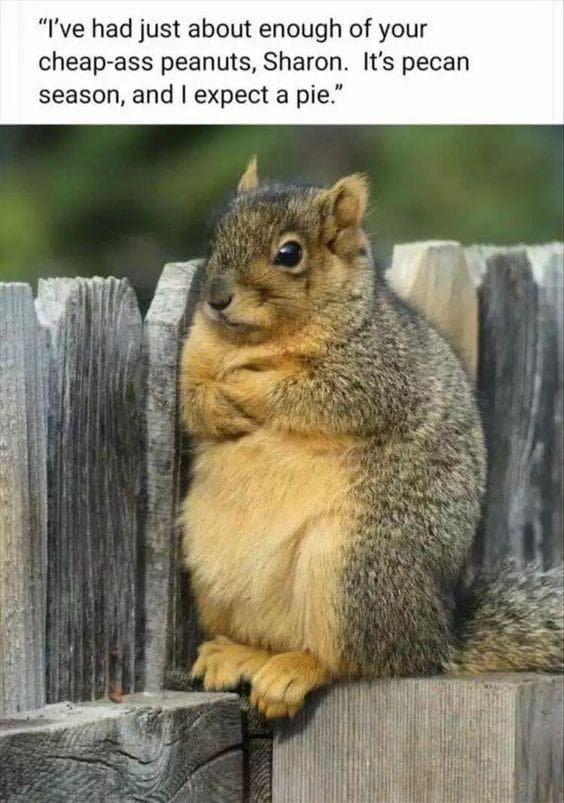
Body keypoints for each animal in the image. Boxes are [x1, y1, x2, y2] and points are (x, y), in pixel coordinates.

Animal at [179, 157, 563, 719]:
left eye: (289, 254)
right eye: (214, 234)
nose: (215, 298)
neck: (255, 341)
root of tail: (436, 639)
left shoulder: (375, 370)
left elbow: (312, 393)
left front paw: (244, 386)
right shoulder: (193, 355)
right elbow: (190, 399)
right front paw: (217, 404)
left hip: (352, 569)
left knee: (357, 661)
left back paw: (296, 671)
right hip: (212, 571)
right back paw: (238, 653)